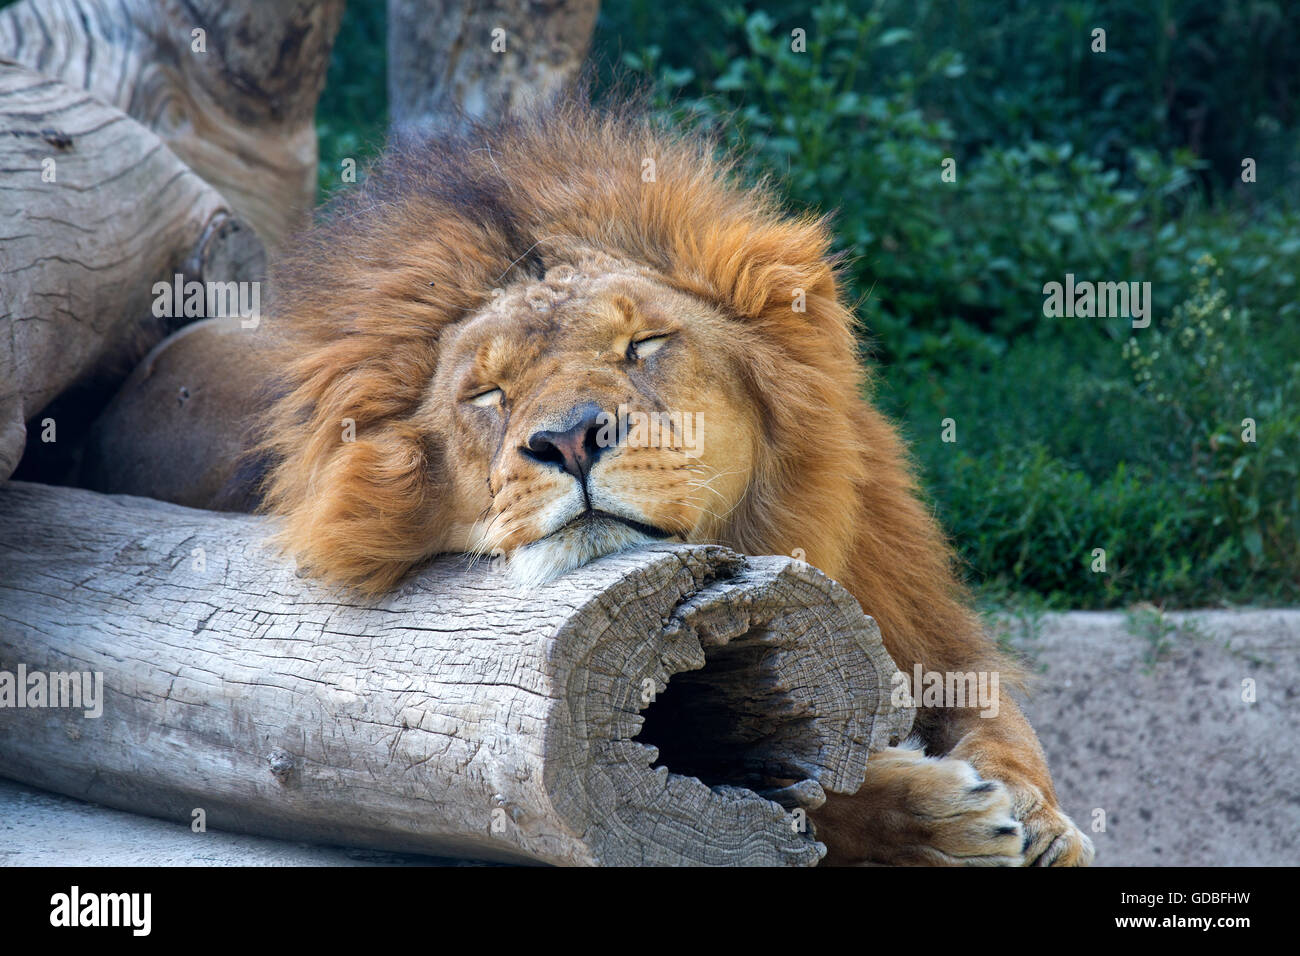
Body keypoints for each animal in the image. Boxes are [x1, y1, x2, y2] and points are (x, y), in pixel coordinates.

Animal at [93, 96, 1094, 866]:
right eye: (487, 394)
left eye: (643, 344)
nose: (570, 440)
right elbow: (779, 794)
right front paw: (947, 821)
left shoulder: (928, 626)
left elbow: (1007, 729)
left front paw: (1042, 822)